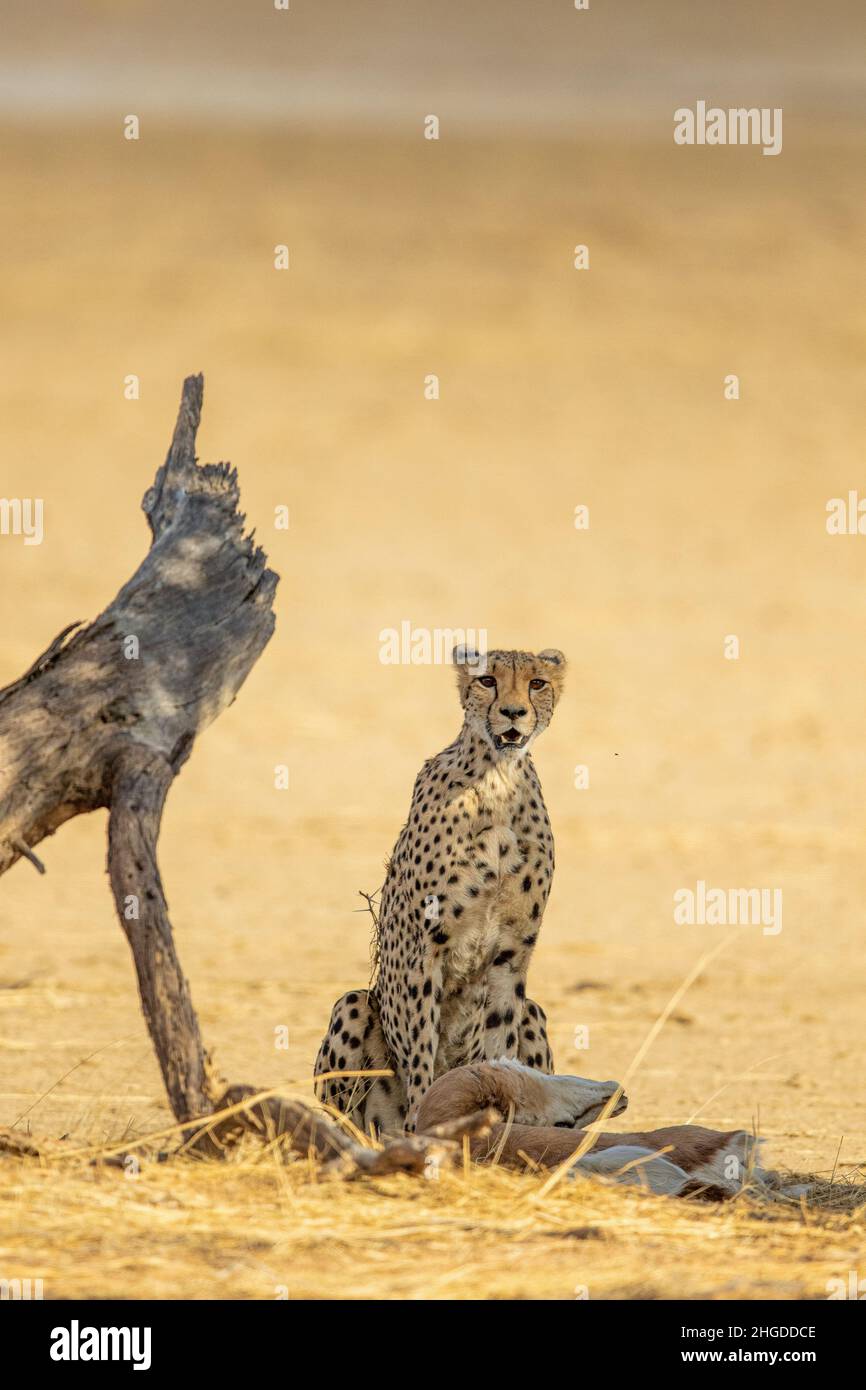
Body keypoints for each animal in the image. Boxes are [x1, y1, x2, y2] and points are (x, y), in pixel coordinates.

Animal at [314, 645, 567, 1134]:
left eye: (537, 683)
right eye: (487, 680)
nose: (513, 712)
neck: (498, 778)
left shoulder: (512, 953)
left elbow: (499, 1041)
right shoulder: (424, 947)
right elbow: (420, 1051)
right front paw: (425, 1122)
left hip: (534, 1010)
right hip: (354, 1008)